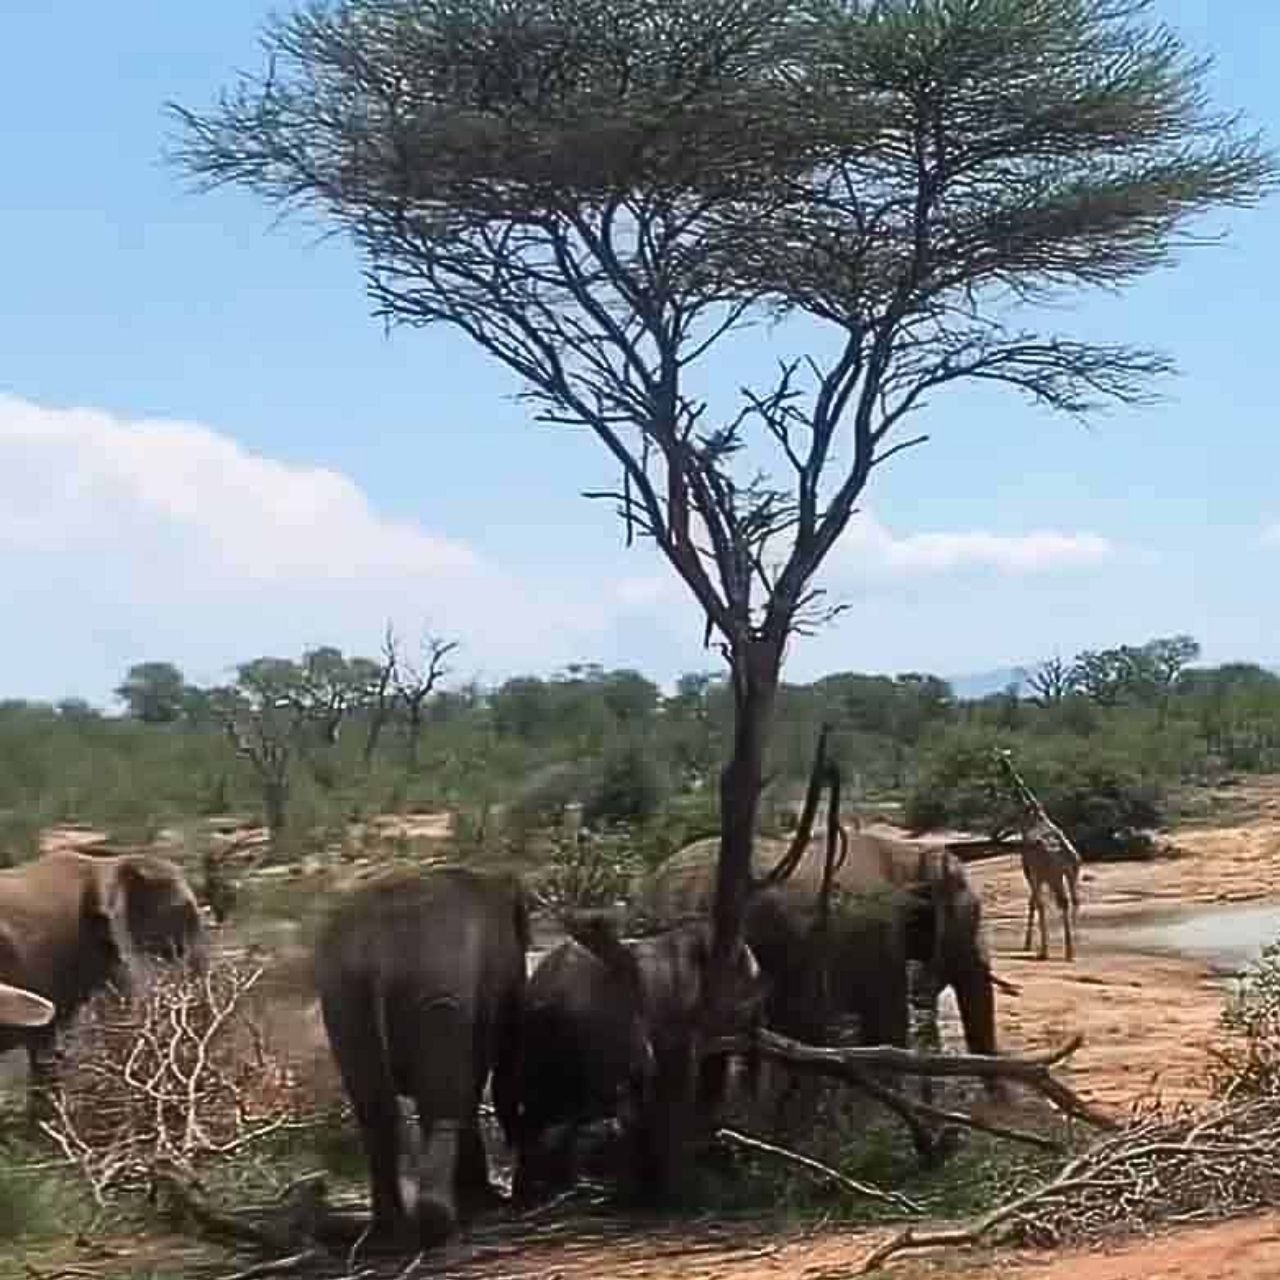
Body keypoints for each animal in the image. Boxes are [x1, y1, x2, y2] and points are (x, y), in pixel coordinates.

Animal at [314, 866, 529, 1251]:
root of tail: (374, 950)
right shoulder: (503, 973)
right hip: (433, 991)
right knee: (443, 1099)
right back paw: (442, 1224)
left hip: (343, 998)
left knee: (377, 1111)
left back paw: (386, 1234)